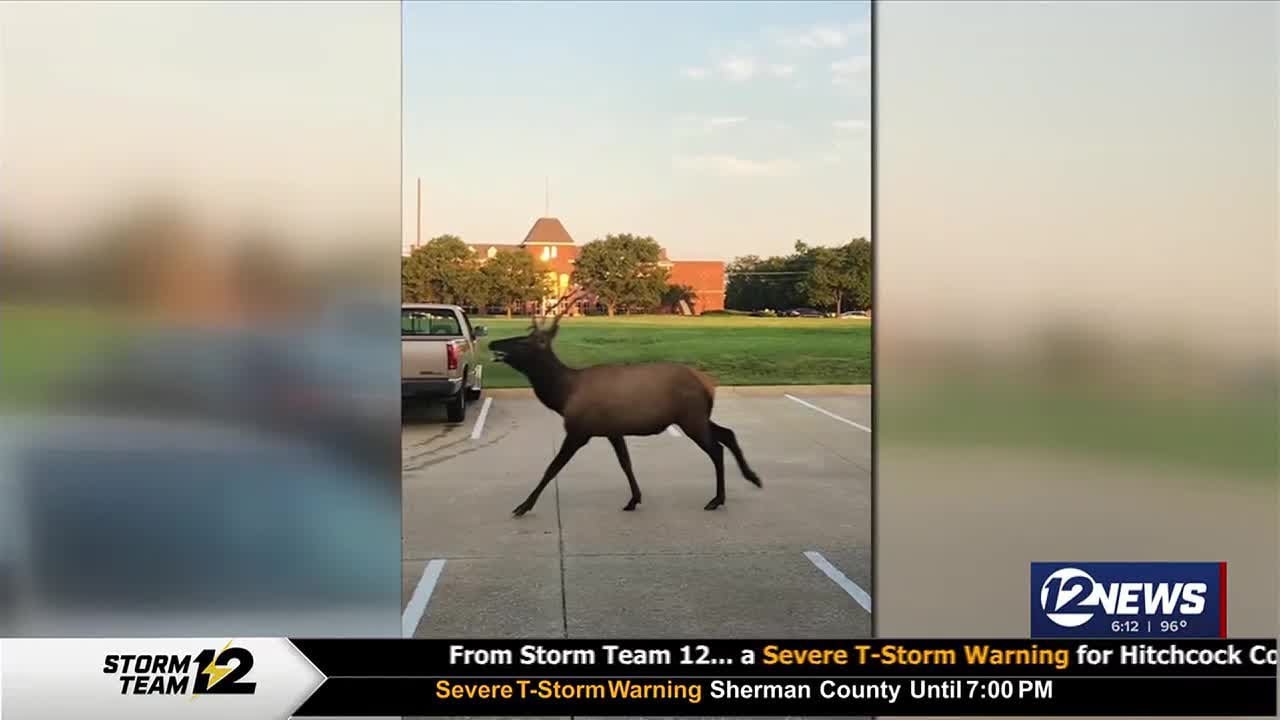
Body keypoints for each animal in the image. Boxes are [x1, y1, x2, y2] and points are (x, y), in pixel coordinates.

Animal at [488, 291, 762, 517]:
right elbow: (625, 463)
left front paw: (523, 506)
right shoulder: (612, 430)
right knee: (727, 433)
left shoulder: (579, 430)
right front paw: (634, 499)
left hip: (691, 417)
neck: (563, 395)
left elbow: (552, 468)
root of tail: (709, 385)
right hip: (697, 416)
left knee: (716, 448)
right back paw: (751, 478)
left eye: (525, 341)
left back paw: (718, 499)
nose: (493, 343)